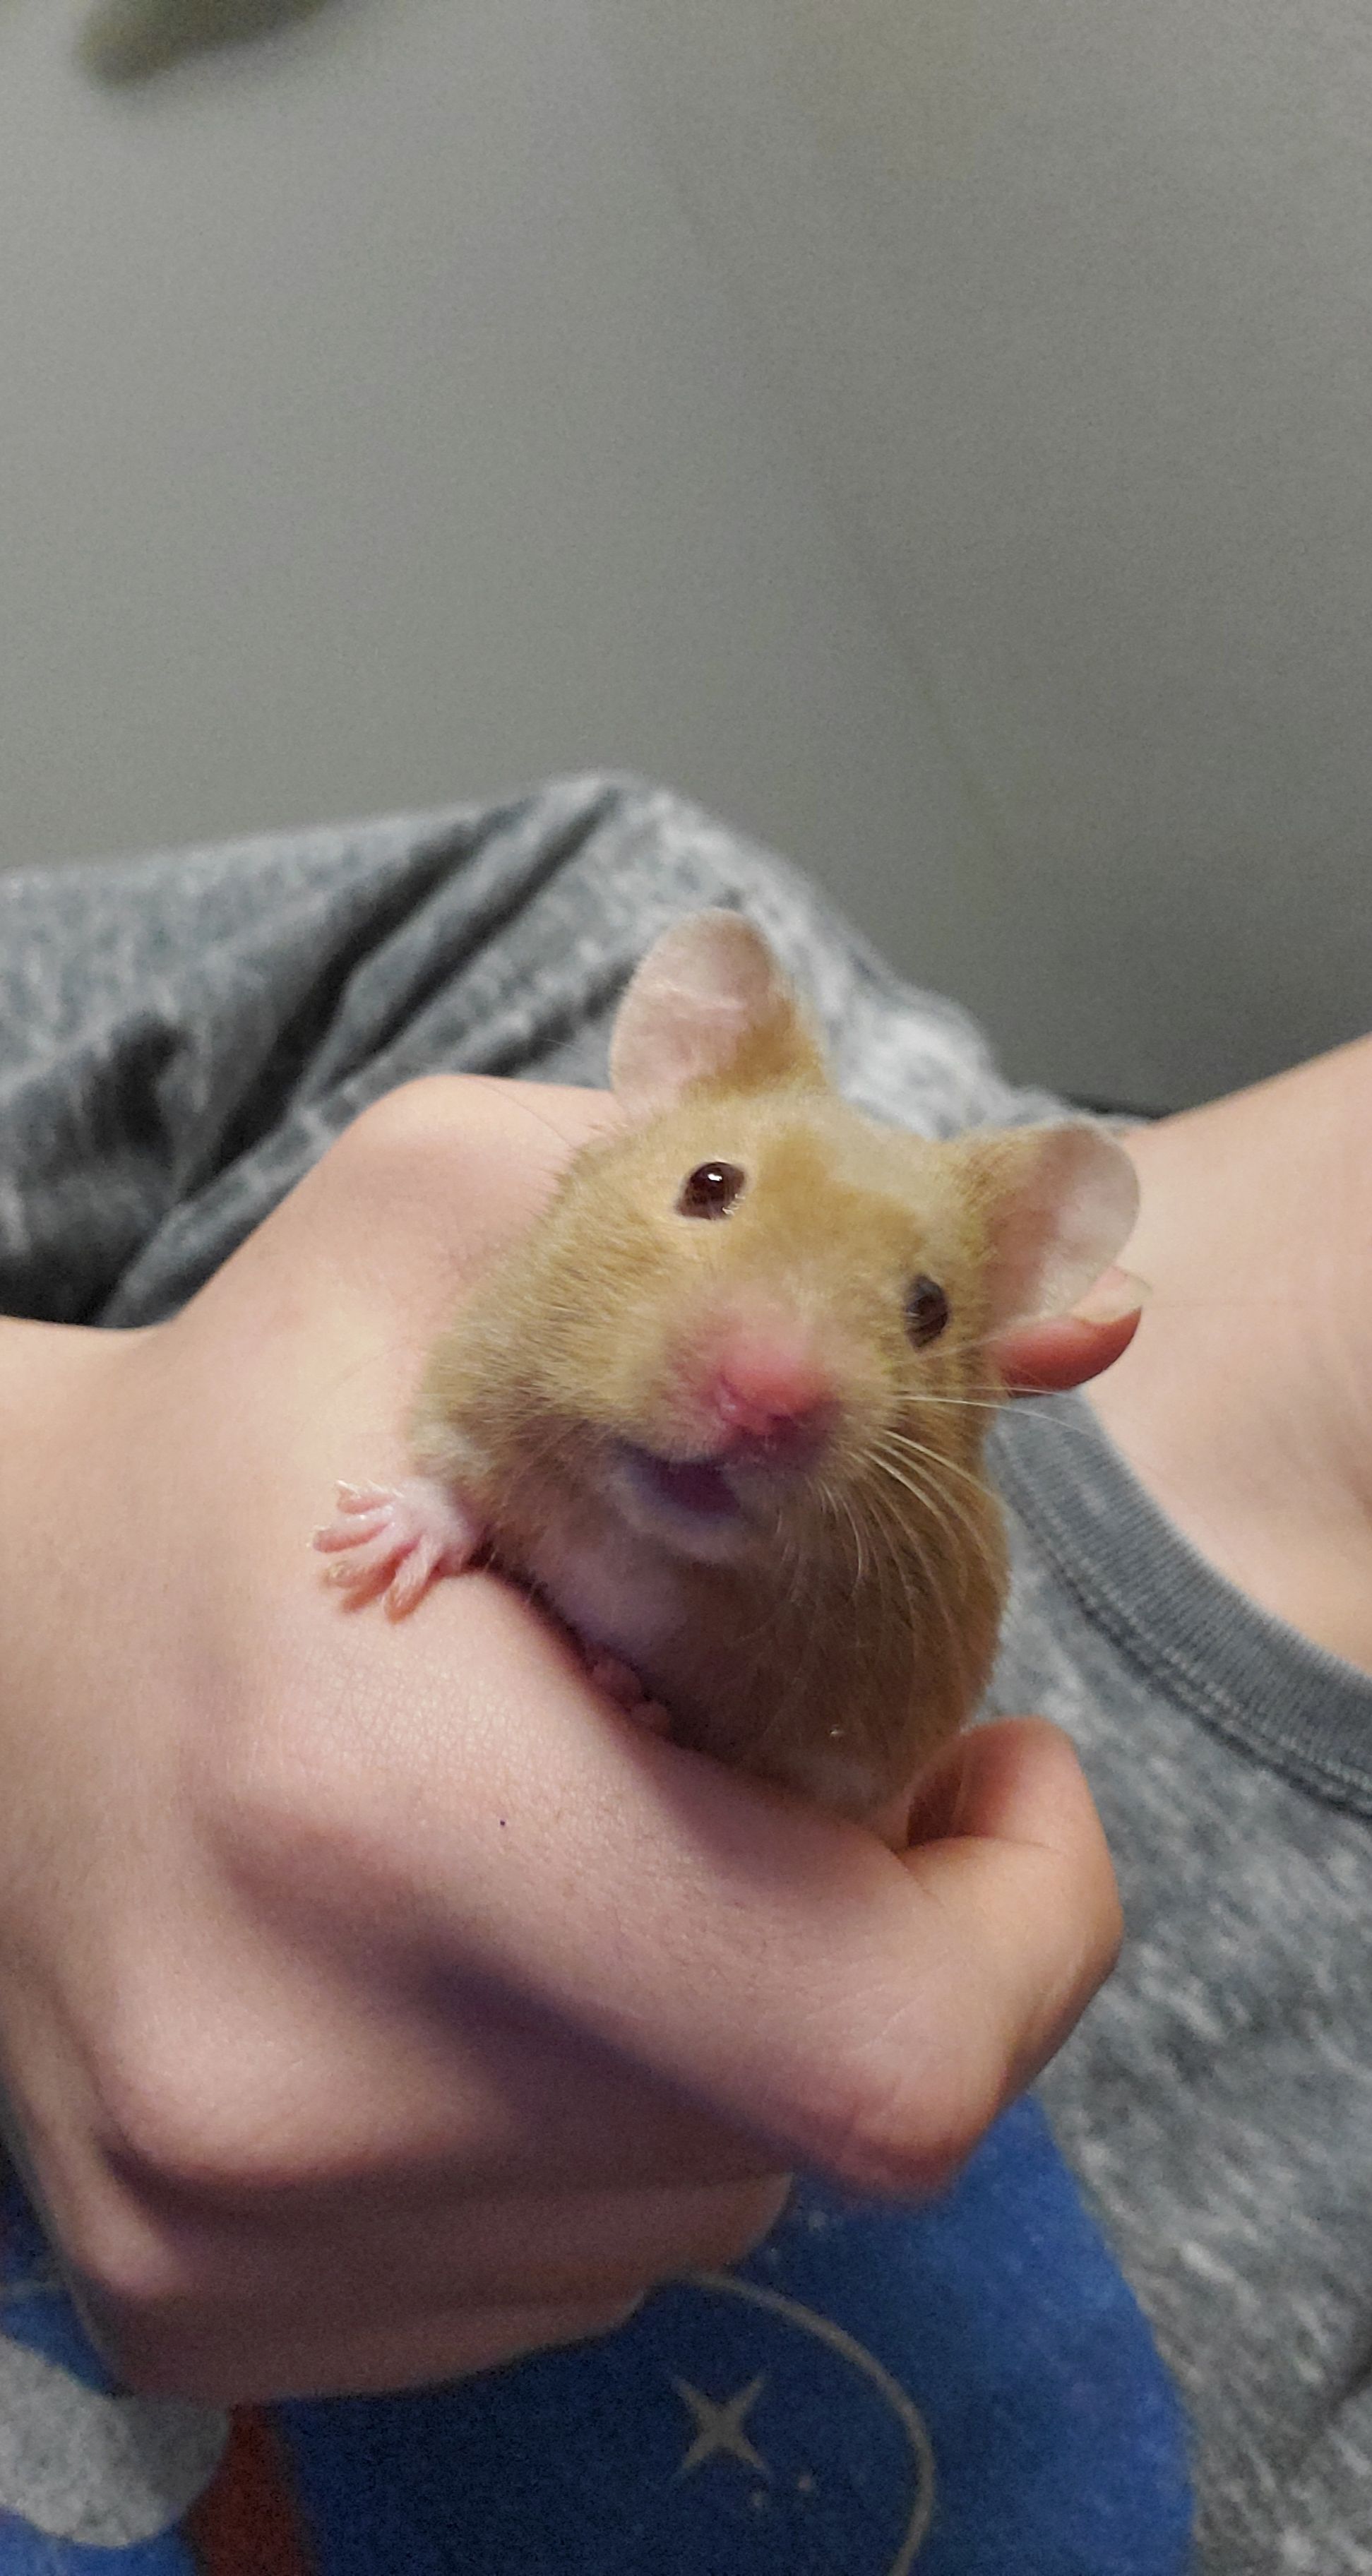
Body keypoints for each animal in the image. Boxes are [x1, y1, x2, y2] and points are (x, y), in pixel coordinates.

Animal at [315, 911, 1137, 1827]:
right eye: (708, 1185)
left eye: (929, 1309)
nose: (762, 1400)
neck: (644, 1545)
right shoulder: (480, 1373)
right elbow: (456, 1484)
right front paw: (362, 1548)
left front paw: (632, 1696)